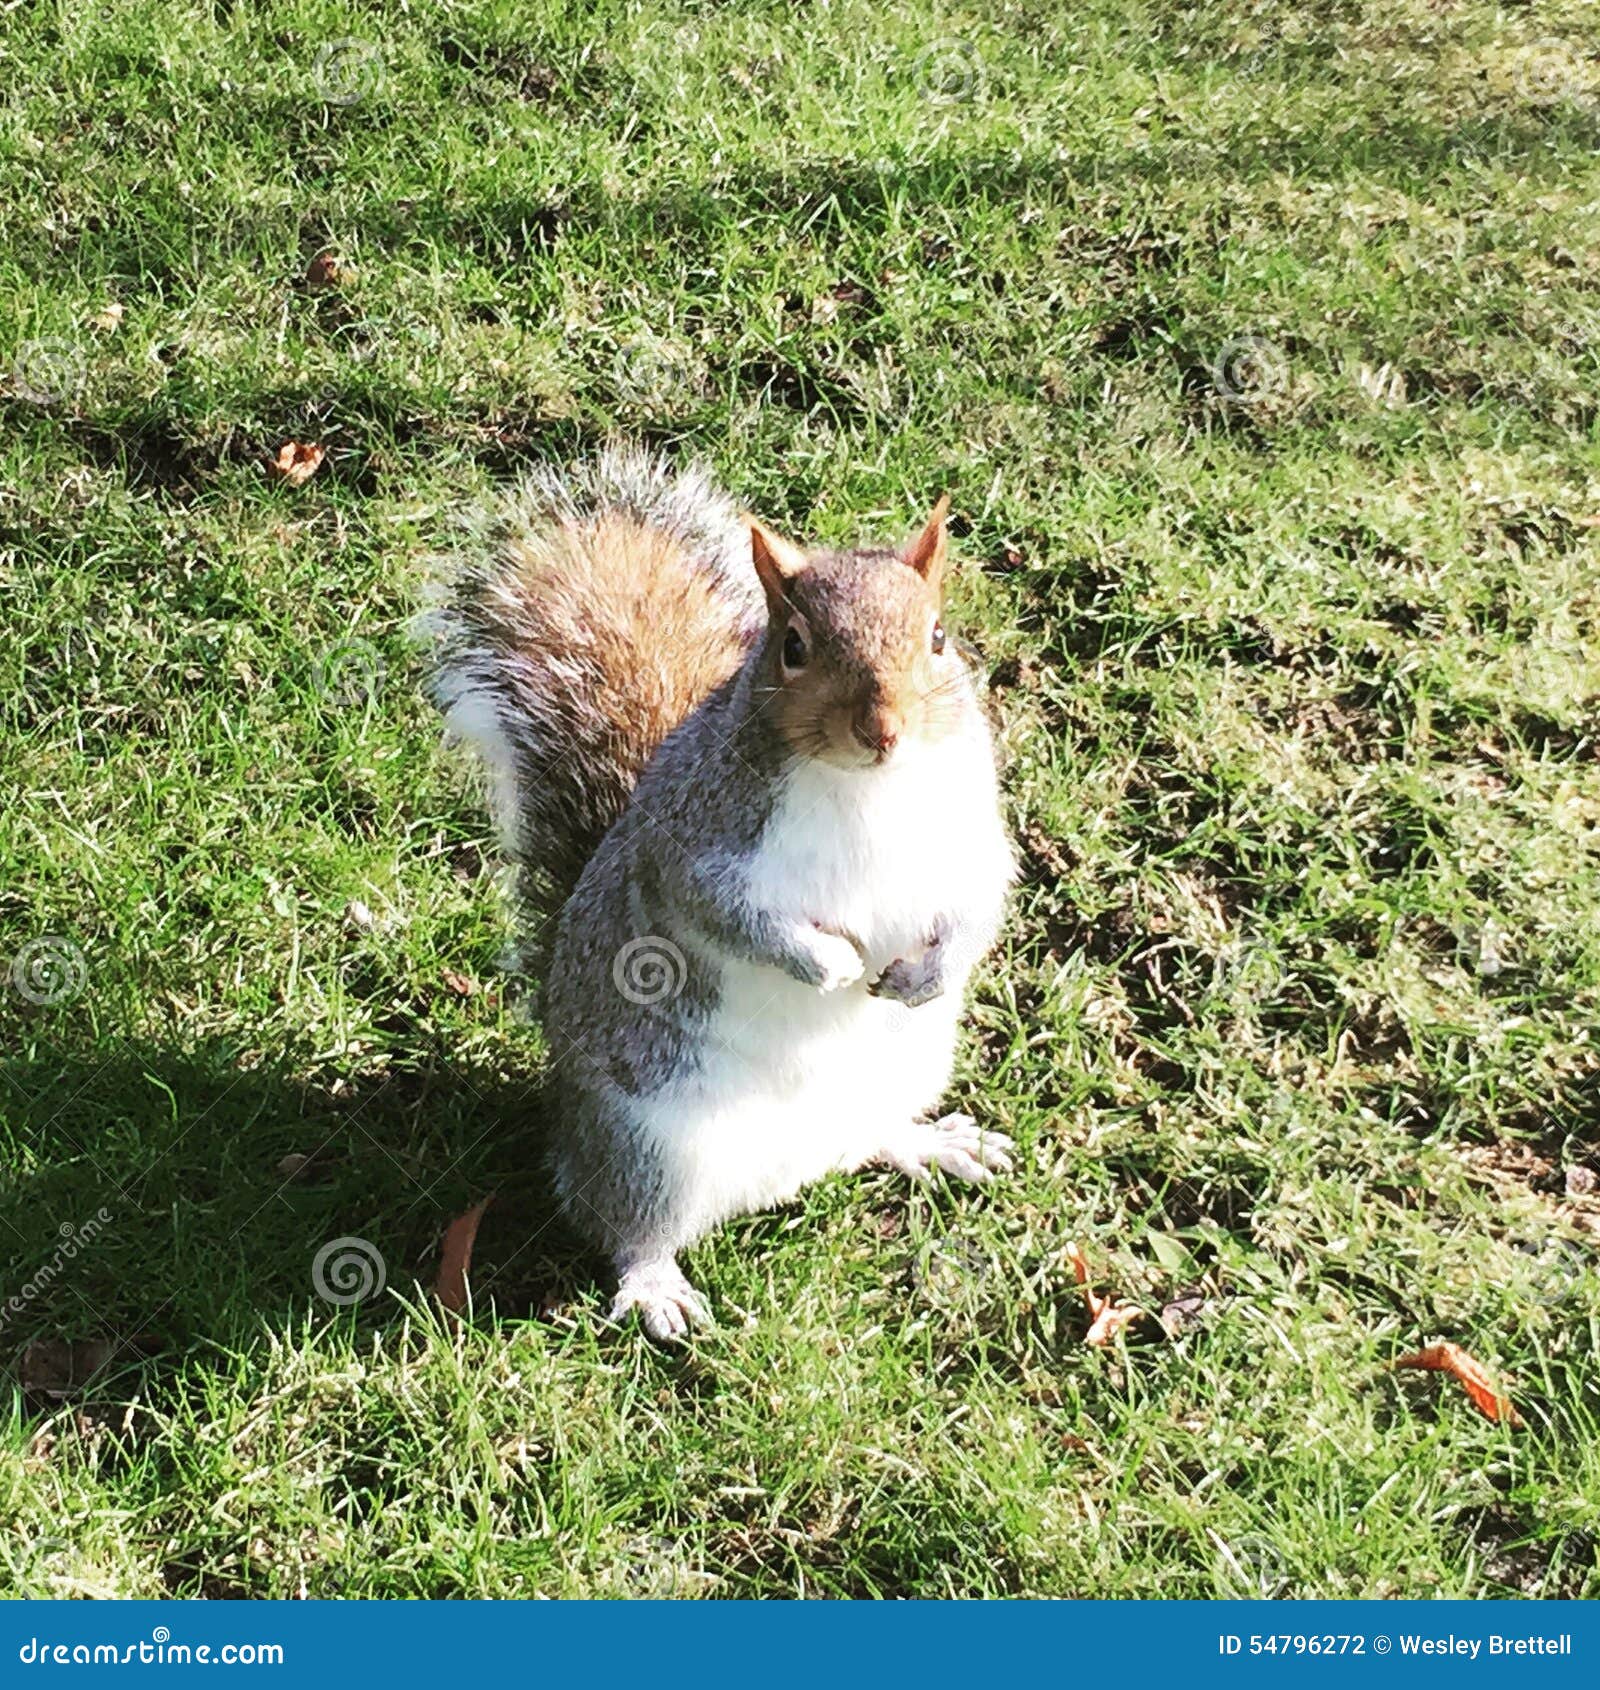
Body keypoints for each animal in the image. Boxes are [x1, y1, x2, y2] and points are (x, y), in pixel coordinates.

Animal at [422, 449, 1015, 1338]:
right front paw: (827, 966)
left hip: (903, 1072)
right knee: (623, 1223)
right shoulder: (689, 845)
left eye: (939, 637)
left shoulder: (972, 831)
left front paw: (927, 973)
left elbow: (984, 899)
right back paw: (654, 1287)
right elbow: (727, 917)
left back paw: (930, 1143)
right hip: (647, 1147)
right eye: (793, 647)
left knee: (874, 1135)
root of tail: (794, 1168)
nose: (882, 730)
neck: (868, 786)